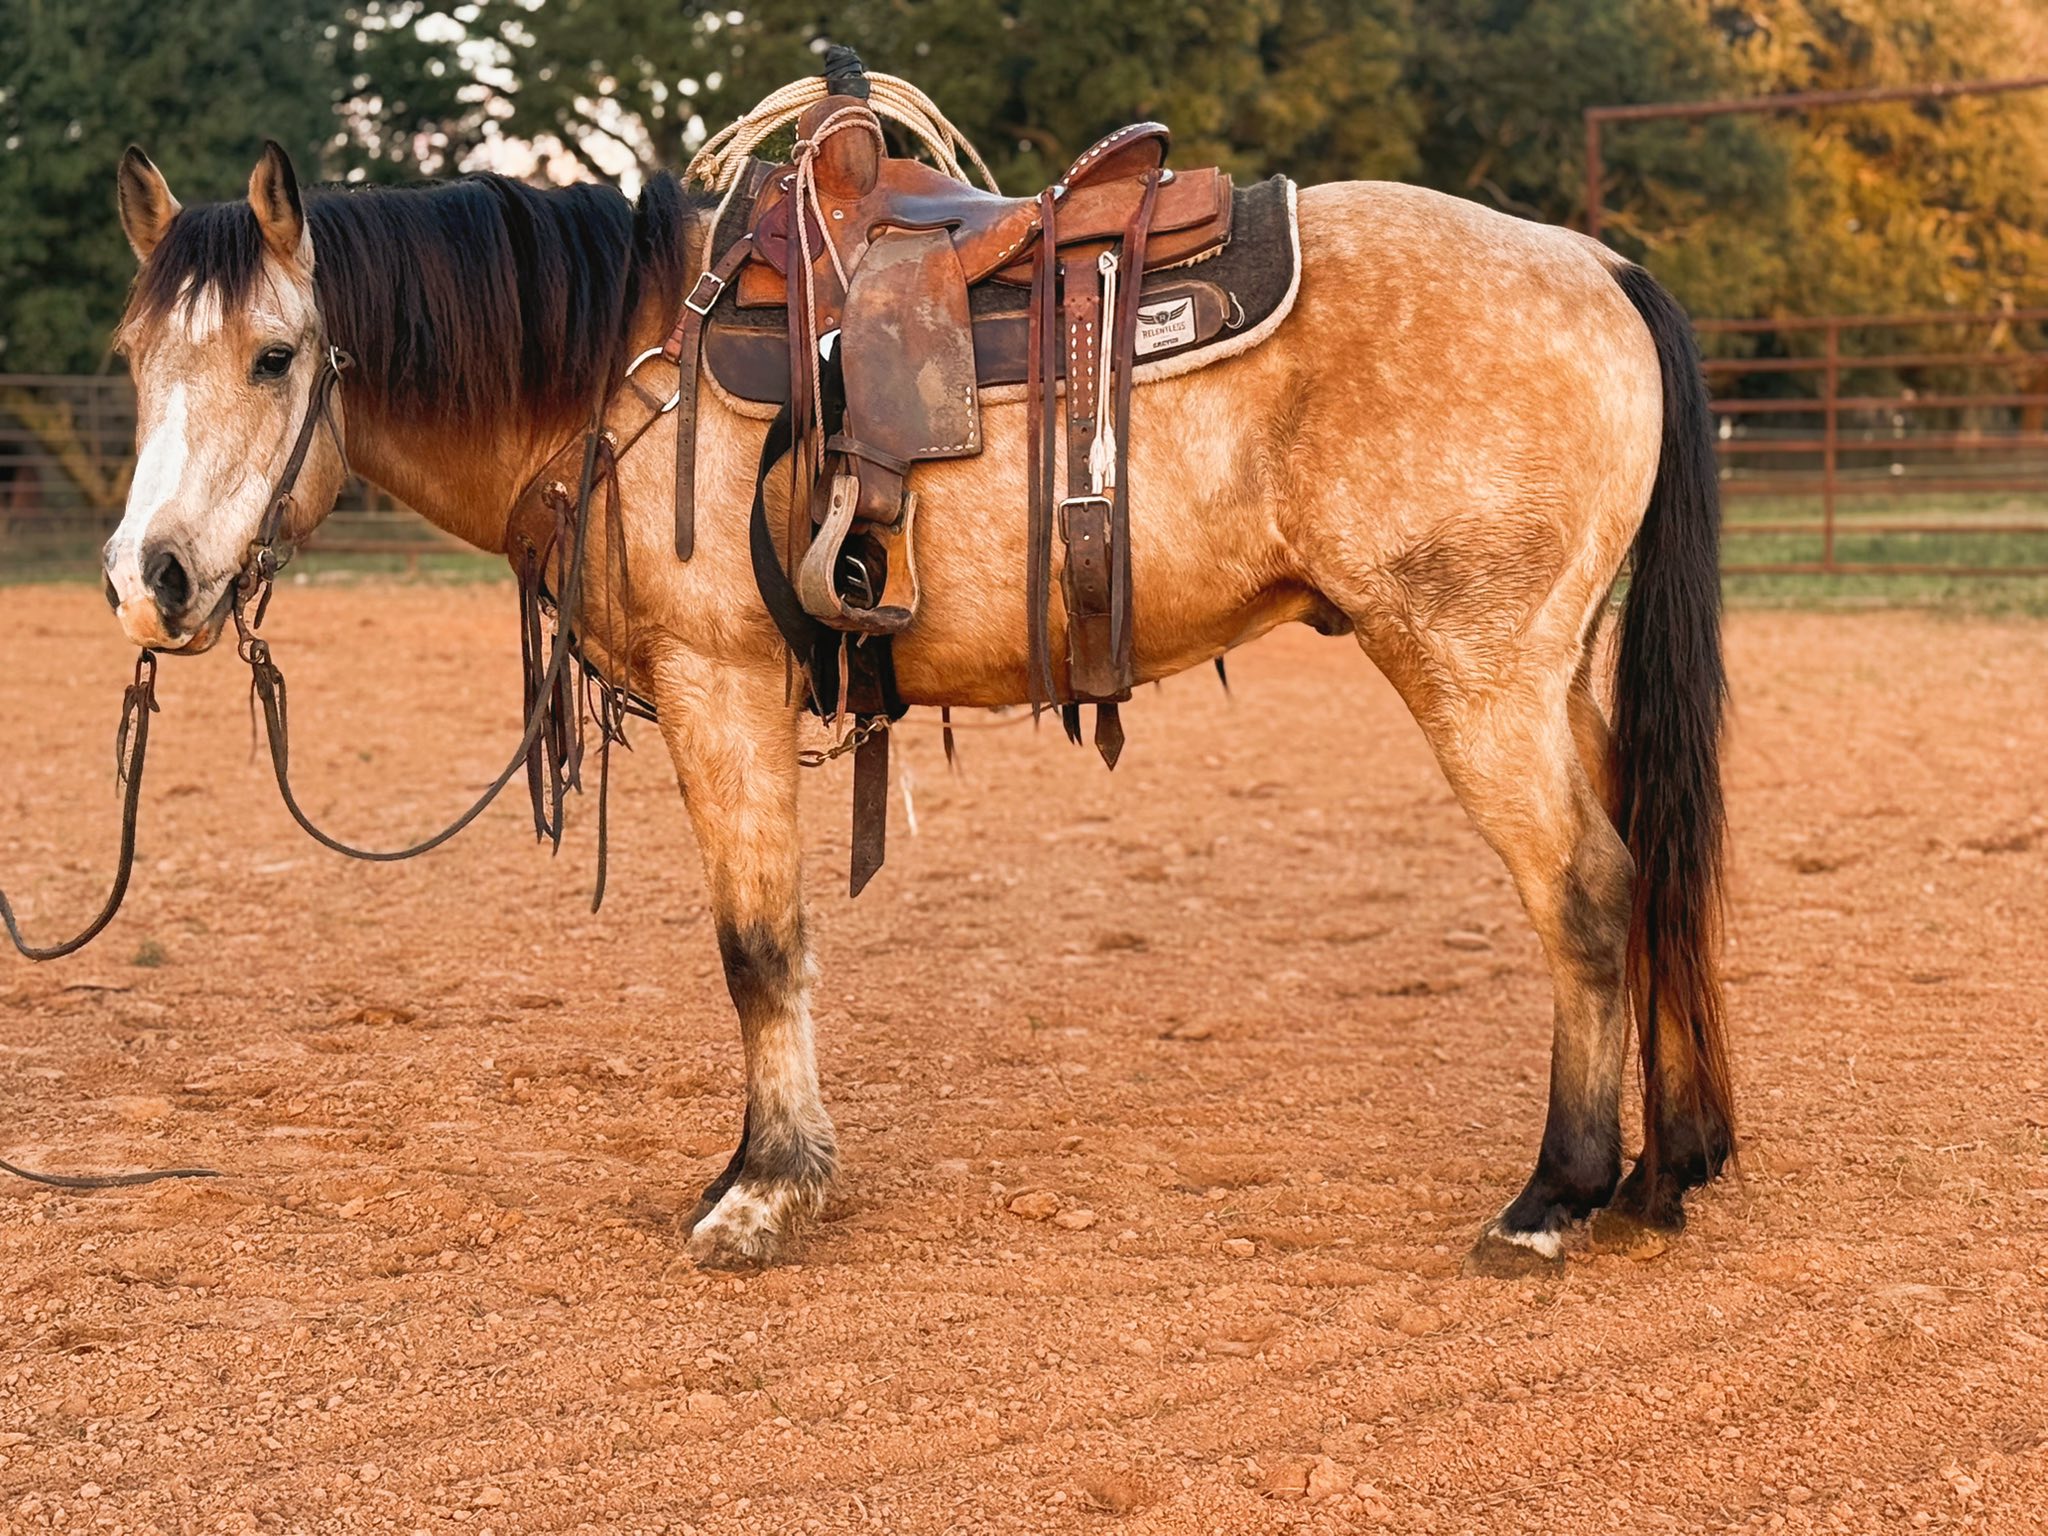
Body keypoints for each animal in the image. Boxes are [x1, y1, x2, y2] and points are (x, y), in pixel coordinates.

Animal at [101, 135, 1732, 1274]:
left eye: (274, 355)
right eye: (131, 359)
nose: (149, 577)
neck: (626, 371)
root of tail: (1598, 266)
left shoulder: (724, 687)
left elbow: (759, 947)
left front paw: (765, 1192)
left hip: (1477, 671)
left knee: (1586, 893)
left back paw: (1552, 1198)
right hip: (1559, 674)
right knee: (1649, 878)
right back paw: (1662, 1170)